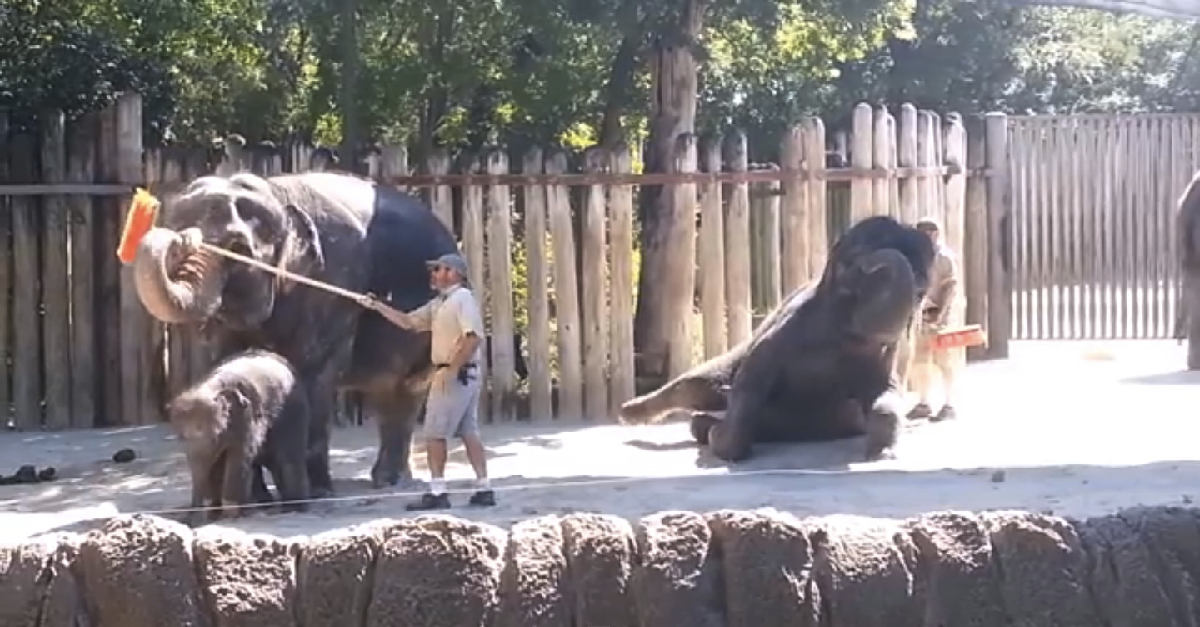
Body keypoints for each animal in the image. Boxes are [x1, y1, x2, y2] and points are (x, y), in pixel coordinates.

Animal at [131, 170, 459, 495]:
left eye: (238, 248)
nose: (179, 239)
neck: (276, 193)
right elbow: (231, 361)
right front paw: (257, 496)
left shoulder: (333, 284)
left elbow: (315, 373)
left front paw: (319, 493)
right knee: (390, 391)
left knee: (408, 389)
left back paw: (389, 481)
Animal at [619, 215, 935, 462]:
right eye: (851, 276)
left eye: (921, 291)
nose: (872, 260)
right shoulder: (780, 336)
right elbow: (748, 386)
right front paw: (720, 439)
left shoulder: (880, 356)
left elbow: (886, 394)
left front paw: (882, 455)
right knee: (695, 384)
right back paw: (630, 413)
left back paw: (702, 425)